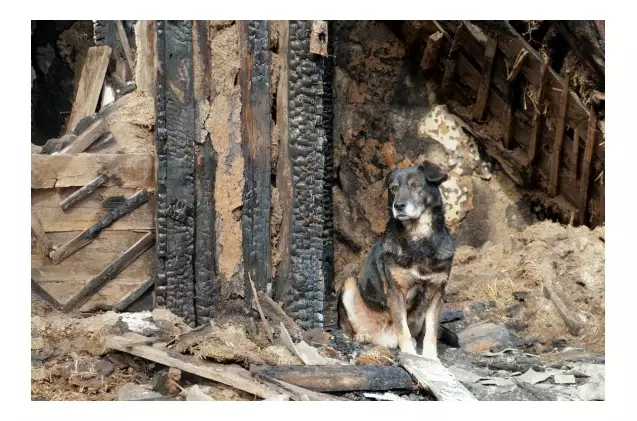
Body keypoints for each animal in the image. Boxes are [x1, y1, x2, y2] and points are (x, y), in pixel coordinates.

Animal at [338, 161, 458, 358]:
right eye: (393, 188)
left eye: (415, 185)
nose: (399, 206)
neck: (418, 239)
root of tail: (384, 338)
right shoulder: (396, 292)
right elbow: (403, 330)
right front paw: (410, 353)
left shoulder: (437, 292)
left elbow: (431, 332)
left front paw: (431, 357)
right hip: (349, 284)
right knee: (347, 326)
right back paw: (363, 335)